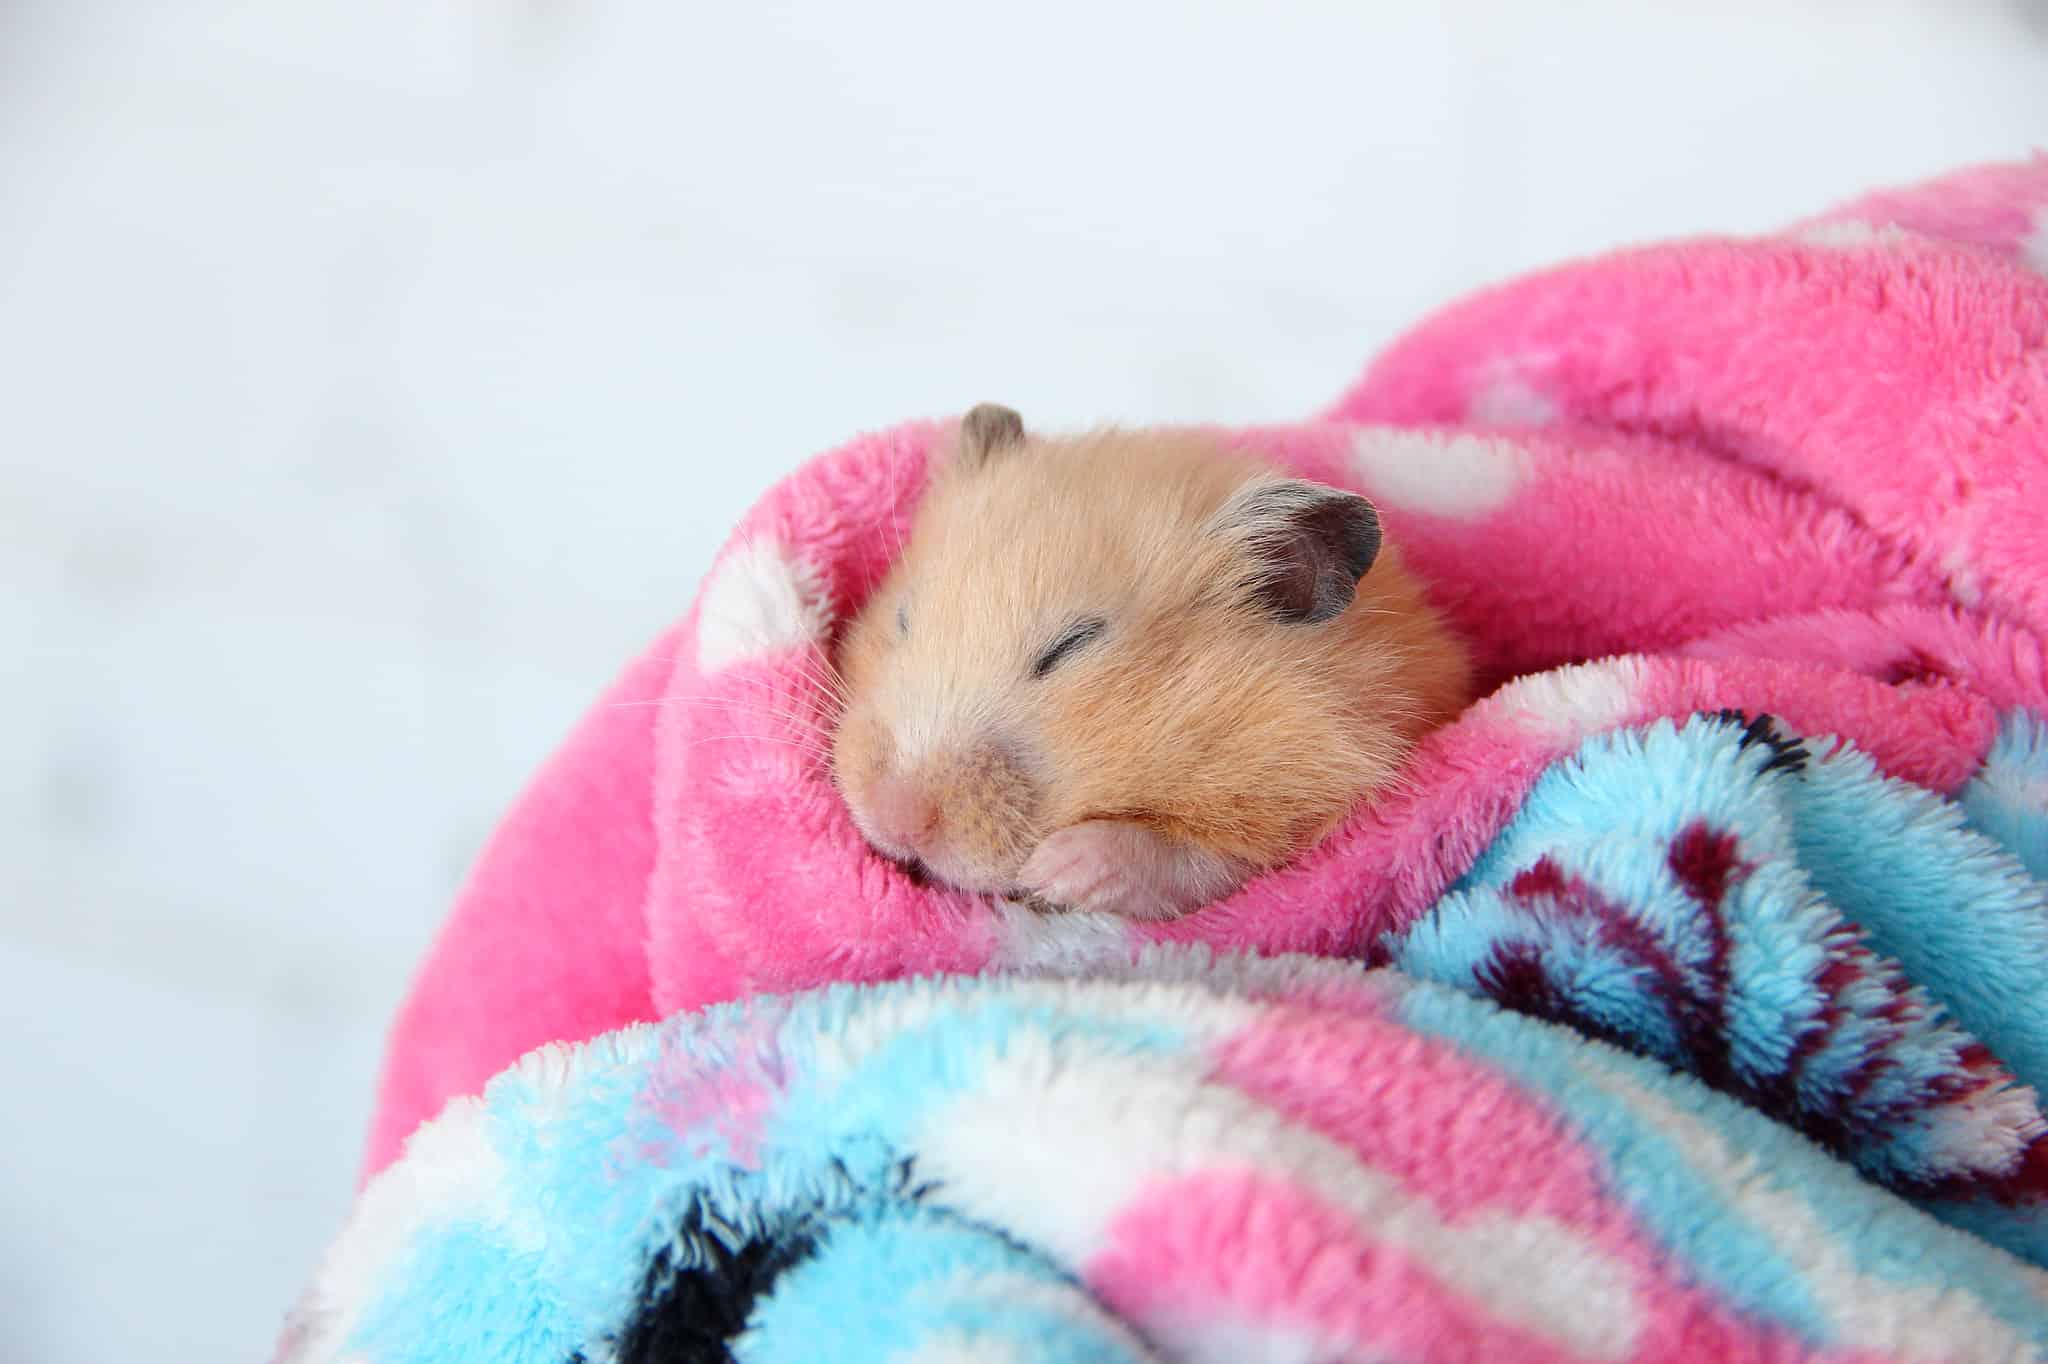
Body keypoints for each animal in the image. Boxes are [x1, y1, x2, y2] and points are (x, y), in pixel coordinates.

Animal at [829, 404, 1472, 920]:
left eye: (1071, 647)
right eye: (903, 619)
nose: (893, 819)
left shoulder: (1323, 790)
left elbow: (1200, 860)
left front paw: (1058, 868)